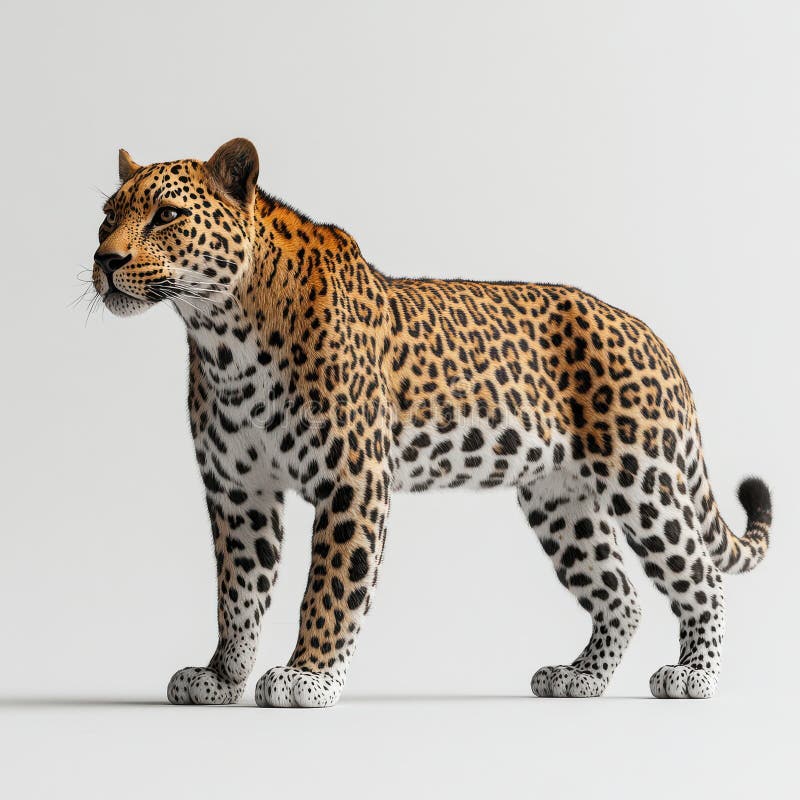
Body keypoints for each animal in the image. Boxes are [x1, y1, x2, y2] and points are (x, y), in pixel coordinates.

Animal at [91, 138, 772, 706]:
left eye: (166, 215)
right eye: (106, 216)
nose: (104, 259)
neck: (223, 336)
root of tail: (652, 336)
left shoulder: (351, 479)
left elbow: (331, 586)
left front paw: (307, 675)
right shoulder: (238, 491)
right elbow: (238, 593)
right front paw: (222, 678)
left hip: (643, 479)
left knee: (703, 578)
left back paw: (694, 675)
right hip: (563, 503)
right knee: (621, 596)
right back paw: (579, 678)